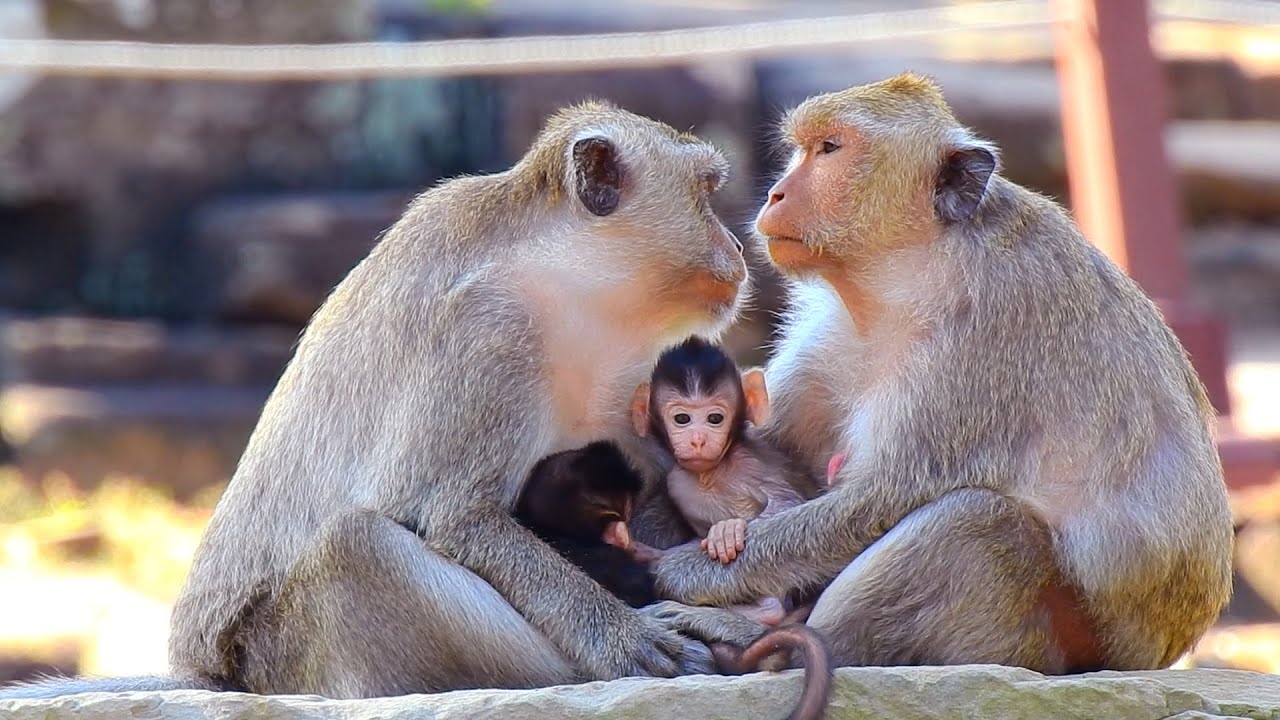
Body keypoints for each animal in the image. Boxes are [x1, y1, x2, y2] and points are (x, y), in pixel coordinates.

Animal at [0, 100, 751, 700]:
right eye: (707, 193)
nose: (739, 246)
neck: (564, 282)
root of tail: (212, 675)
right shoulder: (489, 335)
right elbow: (458, 517)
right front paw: (626, 639)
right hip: (293, 656)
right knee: (356, 546)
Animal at [644, 72, 1234, 676]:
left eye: (830, 149)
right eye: (802, 149)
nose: (775, 195)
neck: (917, 269)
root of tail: (1148, 656)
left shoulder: (993, 326)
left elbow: (883, 498)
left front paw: (684, 570)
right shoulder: (832, 330)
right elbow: (773, 451)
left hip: (1054, 641)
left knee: (976, 524)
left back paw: (776, 646)